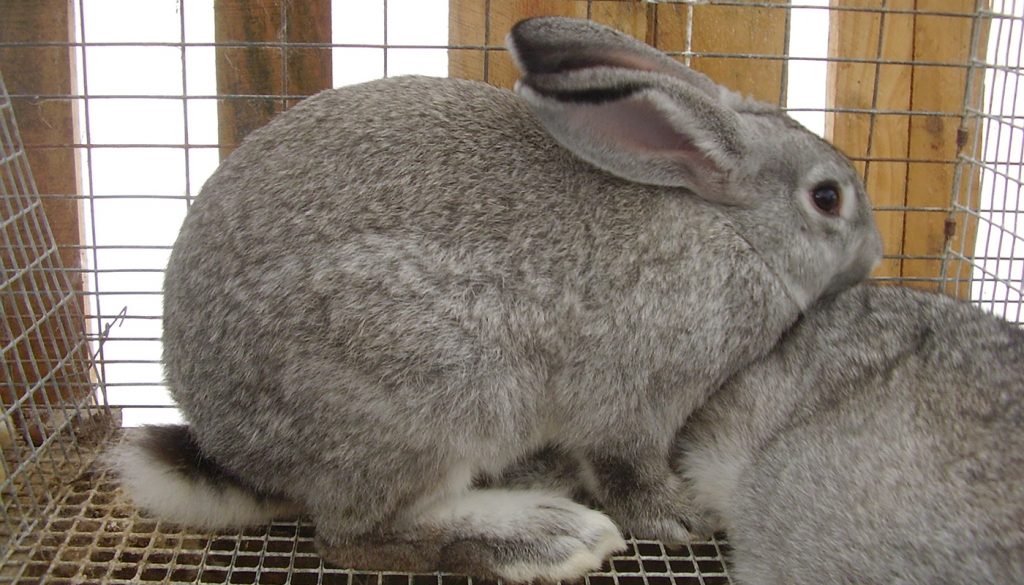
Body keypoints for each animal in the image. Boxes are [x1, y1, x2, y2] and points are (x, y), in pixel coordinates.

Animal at [111, 16, 882, 582]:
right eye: (827, 198)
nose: (875, 252)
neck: (734, 230)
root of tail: (234, 448)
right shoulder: (635, 401)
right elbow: (628, 468)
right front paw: (683, 517)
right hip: (435, 395)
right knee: (360, 532)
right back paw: (549, 537)